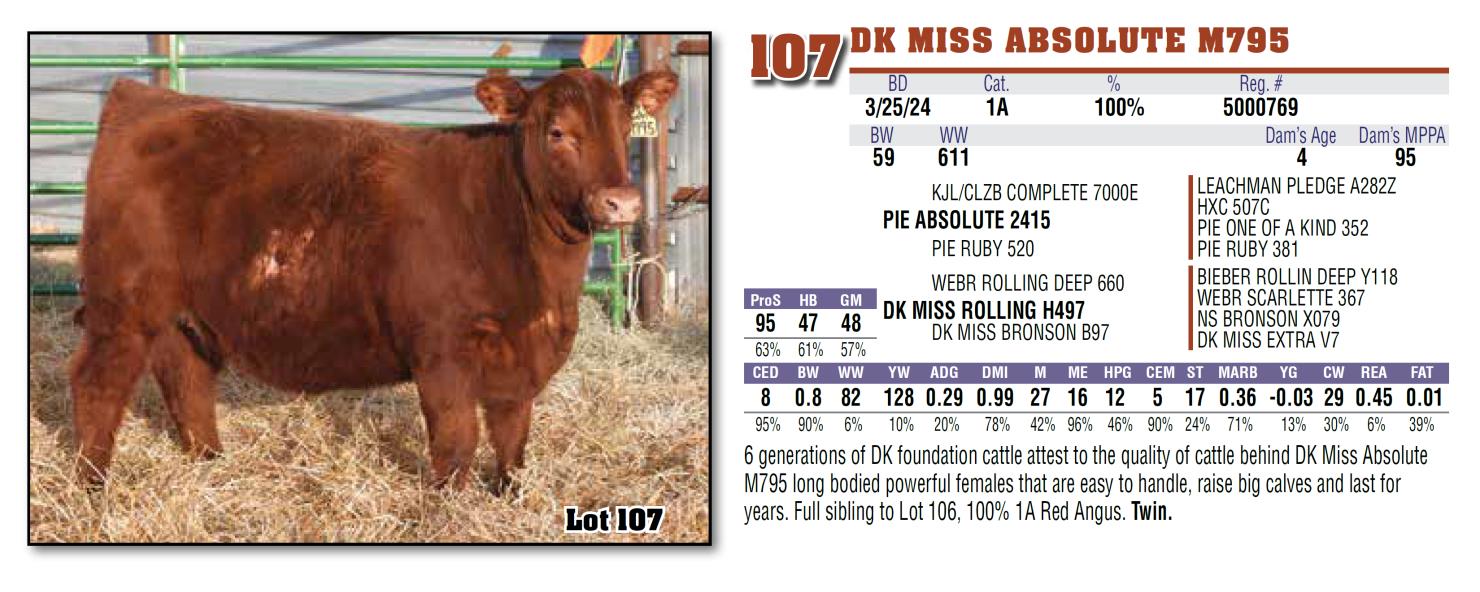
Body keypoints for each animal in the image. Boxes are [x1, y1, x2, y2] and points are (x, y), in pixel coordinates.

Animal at [69, 66, 678, 489]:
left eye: (626, 128)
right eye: (557, 132)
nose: (622, 202)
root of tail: (148, 98)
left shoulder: (521, 353)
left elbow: (512, 436)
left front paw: (508, 494)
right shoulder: (441, 348)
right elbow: (457, 437)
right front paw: (450, 506)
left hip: (183, 312)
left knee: (186, 379)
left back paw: (210, 462)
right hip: (123, 305)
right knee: (99, 384)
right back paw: (92, 486)